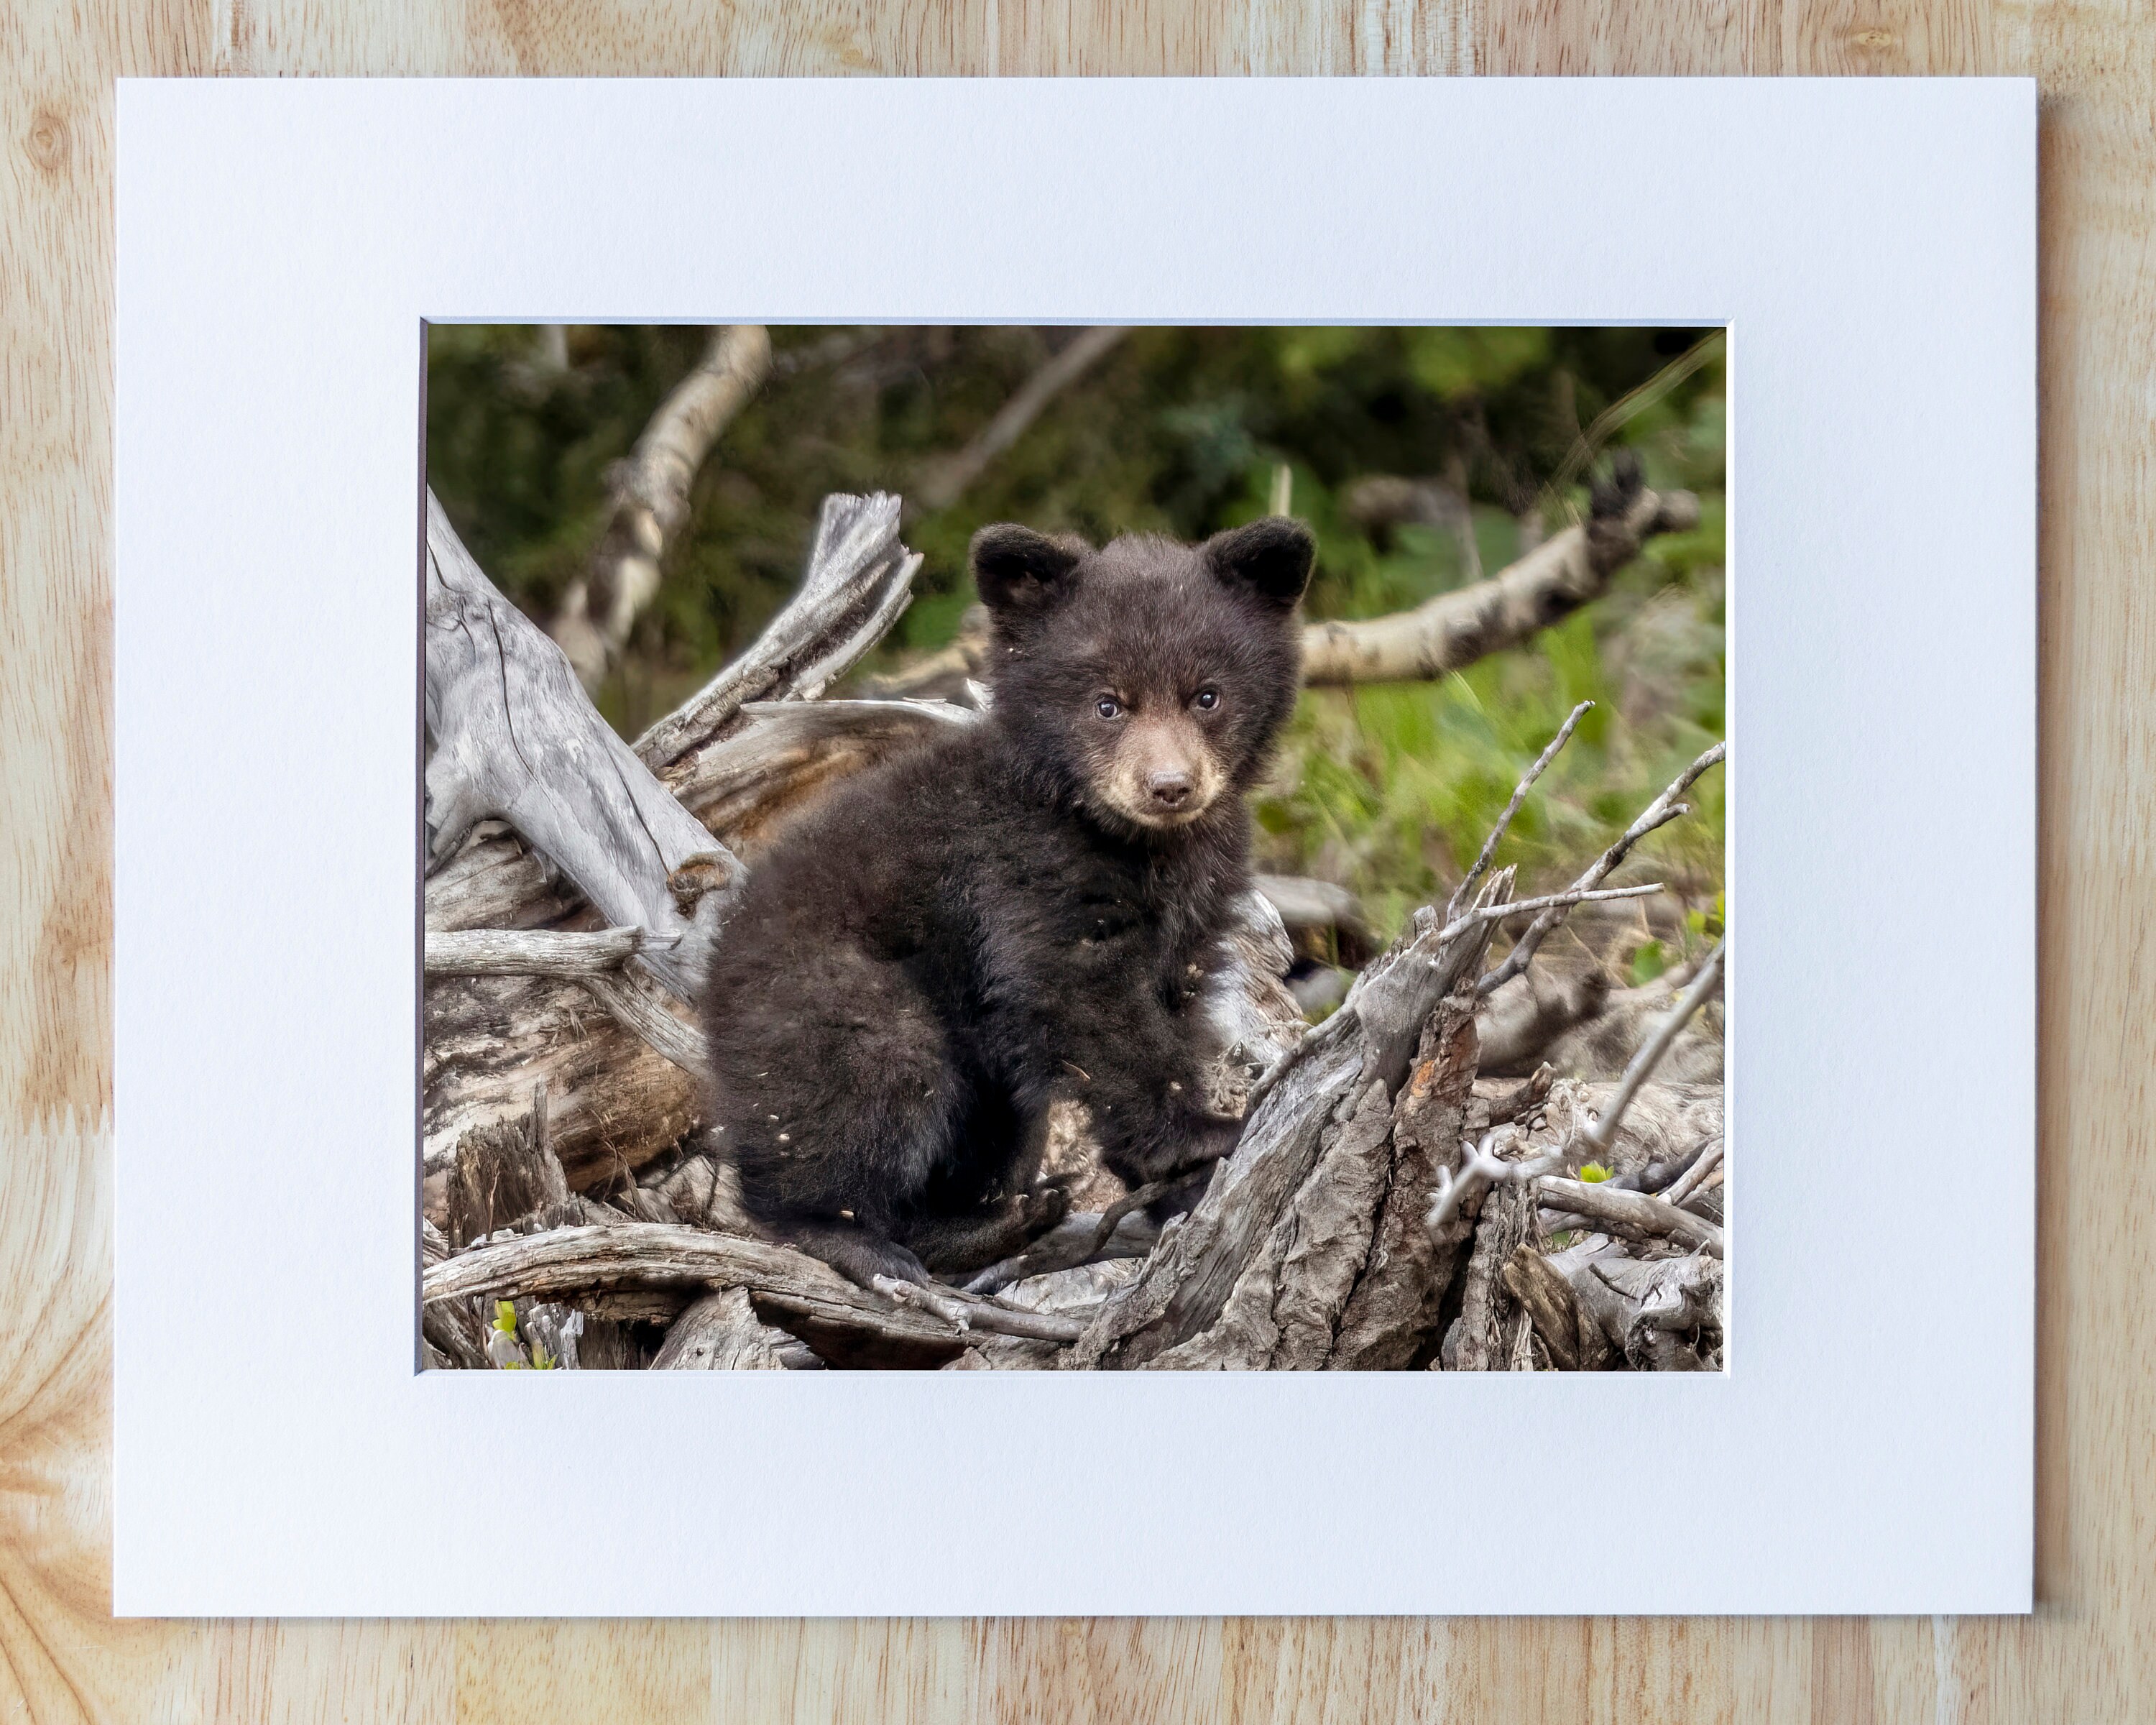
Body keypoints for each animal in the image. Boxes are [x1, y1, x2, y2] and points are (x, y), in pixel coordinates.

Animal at [697, 513, 1316, 1291]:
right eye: (1107, 703)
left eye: (1207, 695)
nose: (1170, 787)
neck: (1128, 840)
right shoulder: (1022, 874)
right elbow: (1087, 1002)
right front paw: (1196, 1138)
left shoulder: (1195, 915)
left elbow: (1172, 1005)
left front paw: (1174, 1181)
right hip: (830, 1000)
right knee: (870, 1086)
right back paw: (850, 1234)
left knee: (989, 1124)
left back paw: (992, 1222)